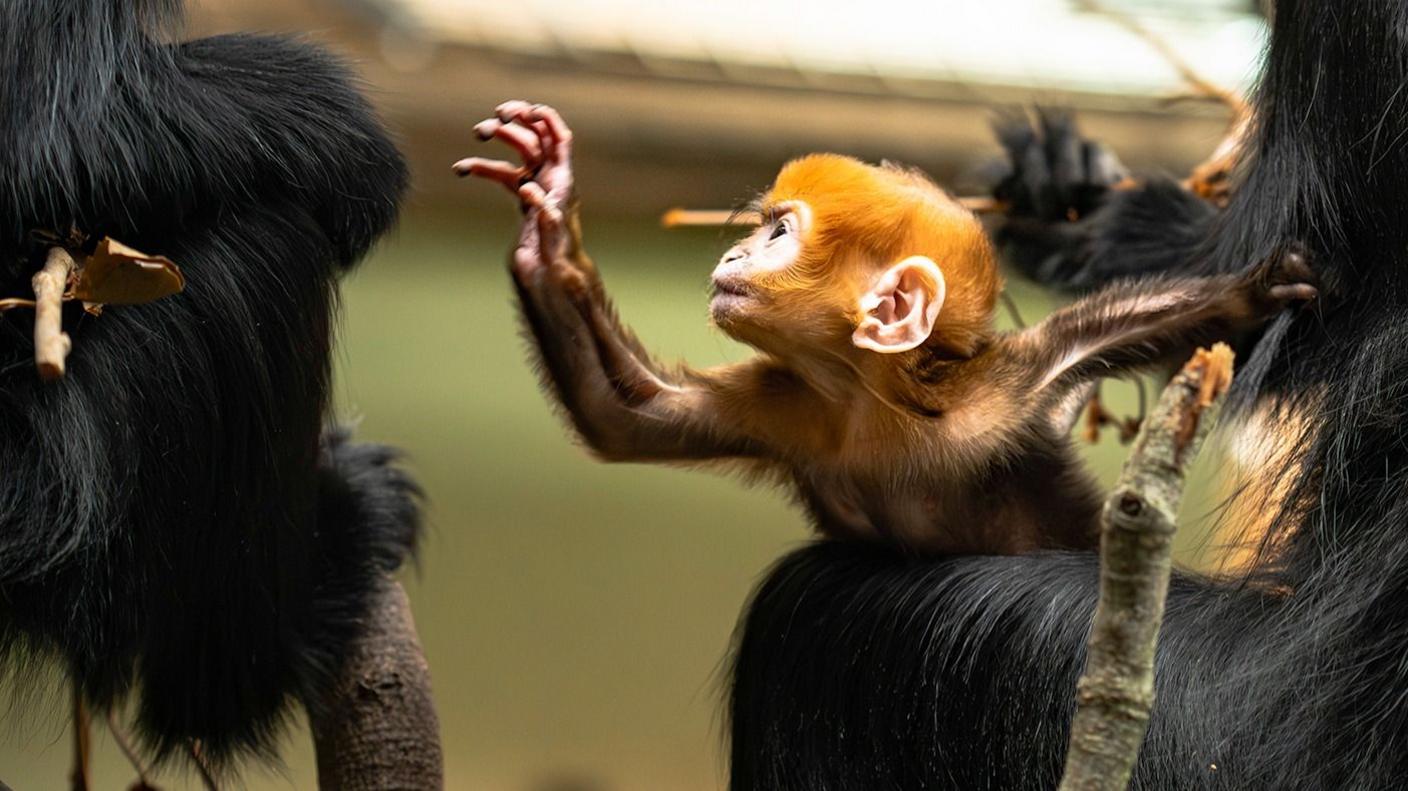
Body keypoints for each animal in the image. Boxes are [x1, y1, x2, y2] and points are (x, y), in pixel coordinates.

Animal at [458, 101, 1316, 555]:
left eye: (779, 235)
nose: (734, 252)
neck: (868, 402)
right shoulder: (788, 406)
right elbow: (623, 413)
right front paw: (548, 220)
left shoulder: (999, 396)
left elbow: (1115, 331)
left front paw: (1257, 290)